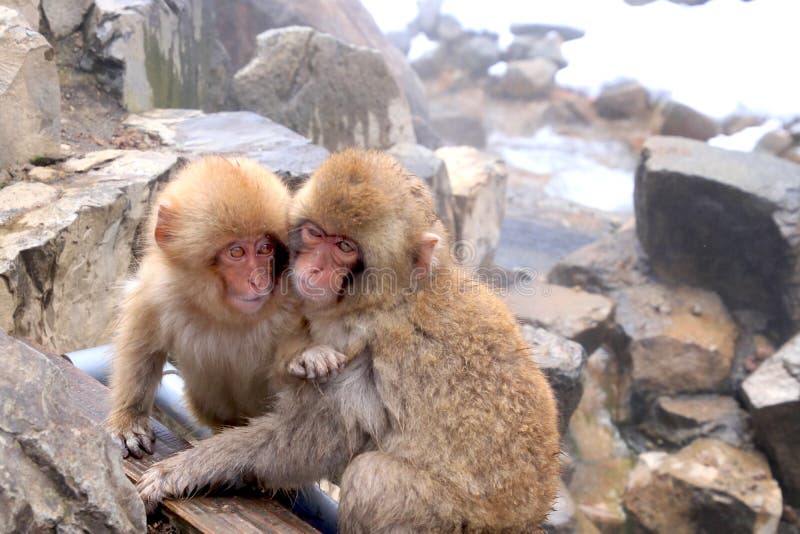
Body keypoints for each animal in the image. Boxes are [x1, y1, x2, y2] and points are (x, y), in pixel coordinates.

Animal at [105, 155, 344, 459]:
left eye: (265, 248)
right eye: (236, 252)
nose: (259, 280)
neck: (227, 314)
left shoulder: (296, 293)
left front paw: (306, 355)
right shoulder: (155, 292)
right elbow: (141, 351)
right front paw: (130, 418)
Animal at [136, 148, 561, 532]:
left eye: (344, 247)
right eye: (315, 233)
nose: (314, 268)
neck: (392, 296)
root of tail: (525, 521)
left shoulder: (365, 345)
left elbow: (305, 443)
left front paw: (189, 469)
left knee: (371, 480)